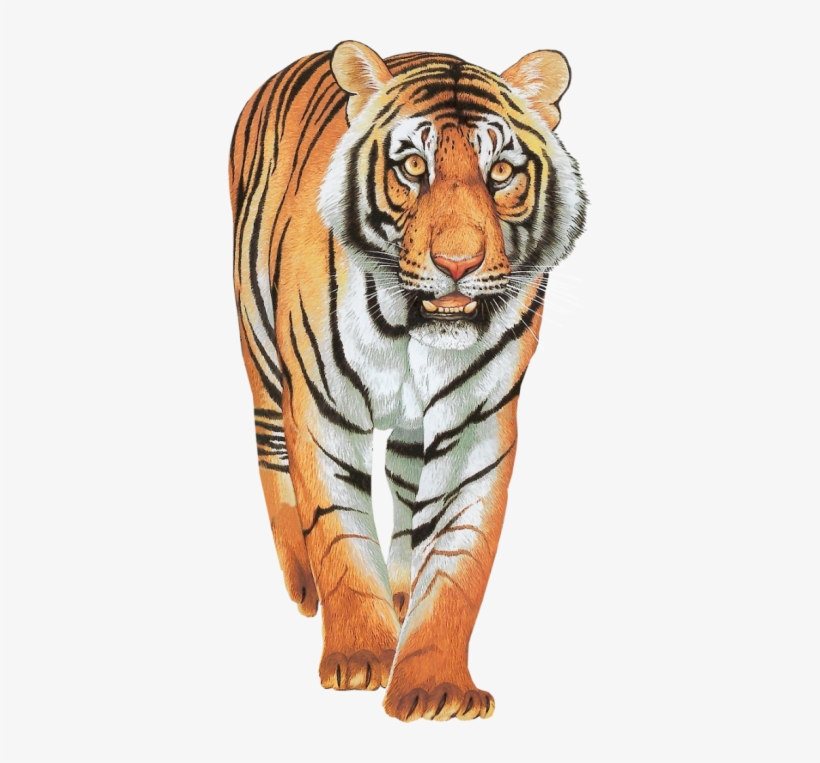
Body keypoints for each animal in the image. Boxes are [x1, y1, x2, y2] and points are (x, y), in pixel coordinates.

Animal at [229, 41, 586, 722]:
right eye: (414, 167)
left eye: (501, 173)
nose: (458, 264)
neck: (410, 331)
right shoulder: (322, 409)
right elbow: (339, 532)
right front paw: (360, 657)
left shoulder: (473, 424)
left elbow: (454, 557)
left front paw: (435, 687)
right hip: (260, 351)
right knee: (271, 455)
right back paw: (303, 584)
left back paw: (399, 594)